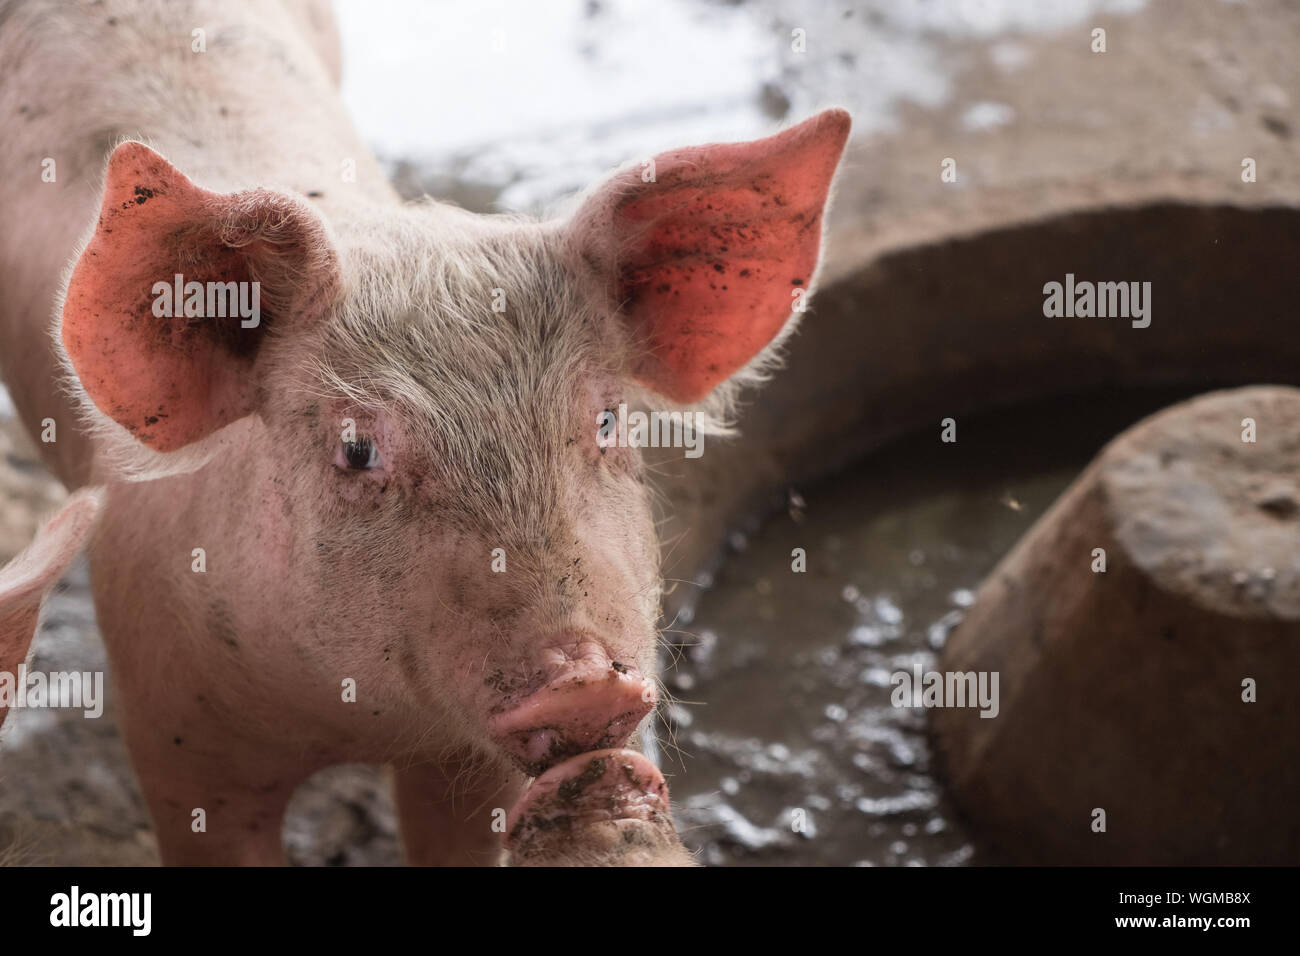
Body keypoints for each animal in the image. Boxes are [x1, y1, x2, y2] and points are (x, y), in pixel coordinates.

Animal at [0, 0, 849, 864]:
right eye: (357, 448)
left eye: (607, 419)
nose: (582, 681)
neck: (351, 721)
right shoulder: (172, 724)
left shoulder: (466, 762)